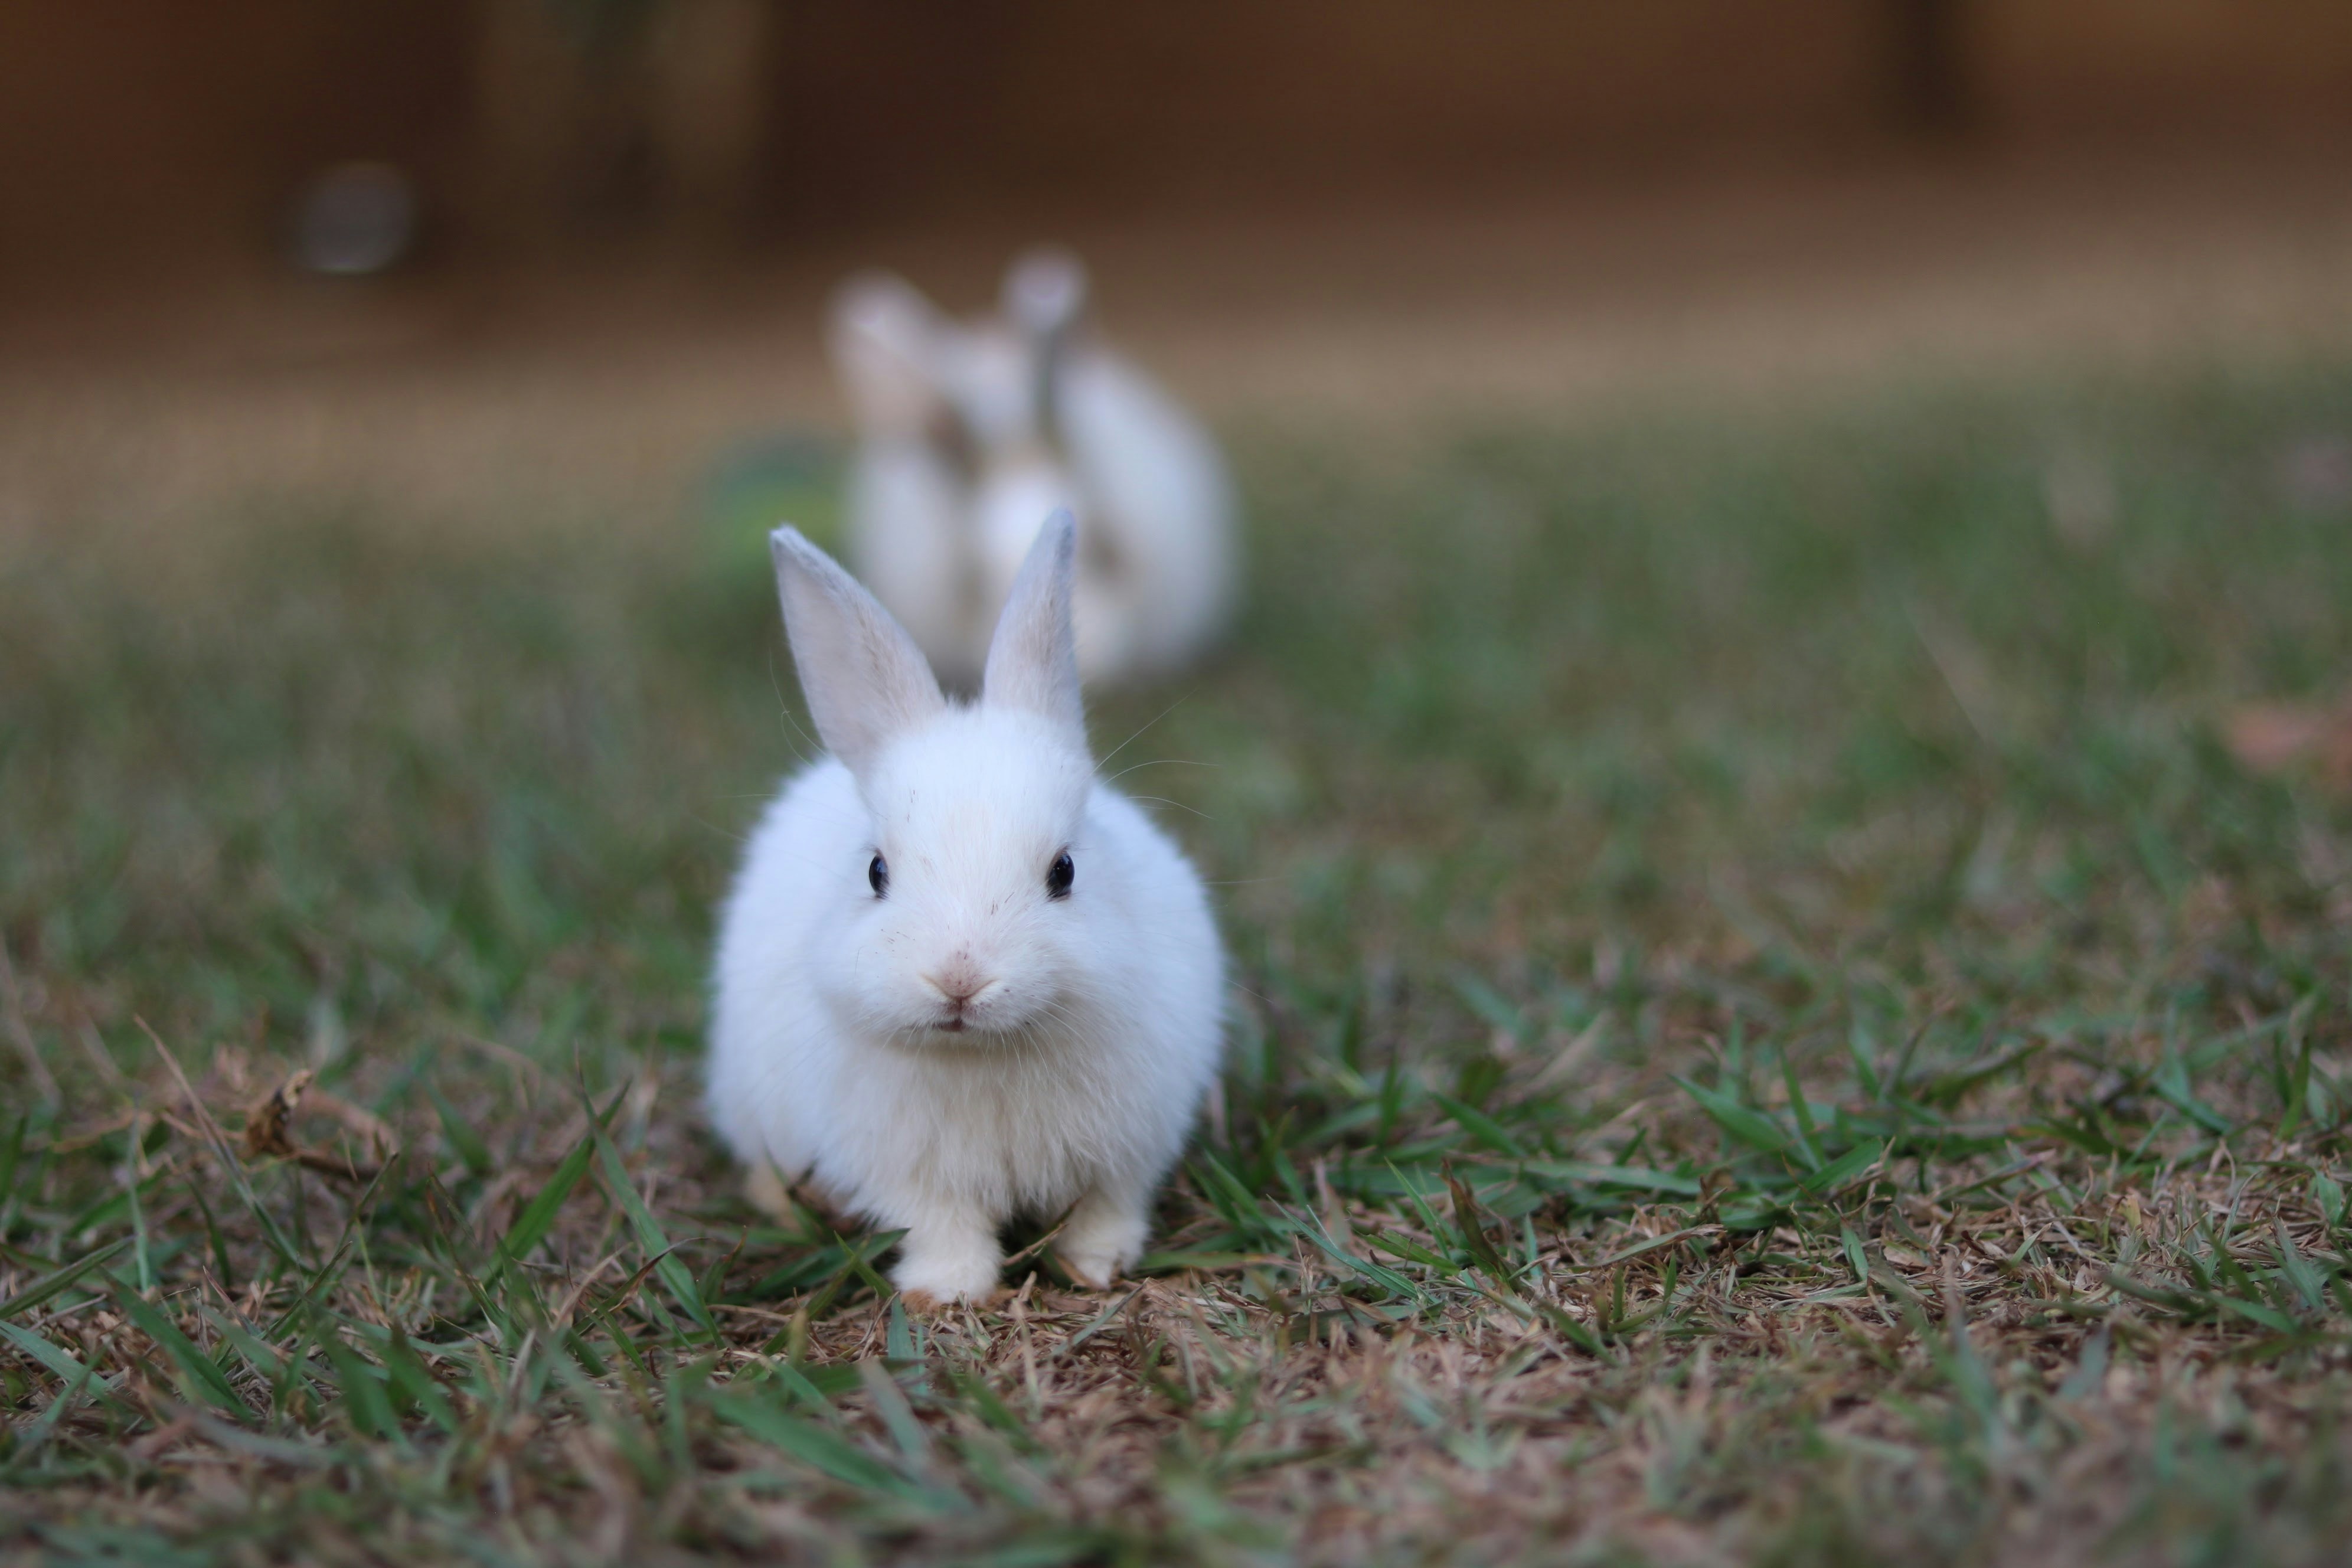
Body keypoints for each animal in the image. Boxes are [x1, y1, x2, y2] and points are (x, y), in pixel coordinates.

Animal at [706, 510, 1227, 1308]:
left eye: (1064, 871)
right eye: (876, 871)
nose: (959, 979)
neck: (984, 1050)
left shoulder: (1126, 1156)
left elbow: (1106, 1211)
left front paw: (1096, 1266)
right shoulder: (905, 1174)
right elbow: (939, 1226)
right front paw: (947, 1292)